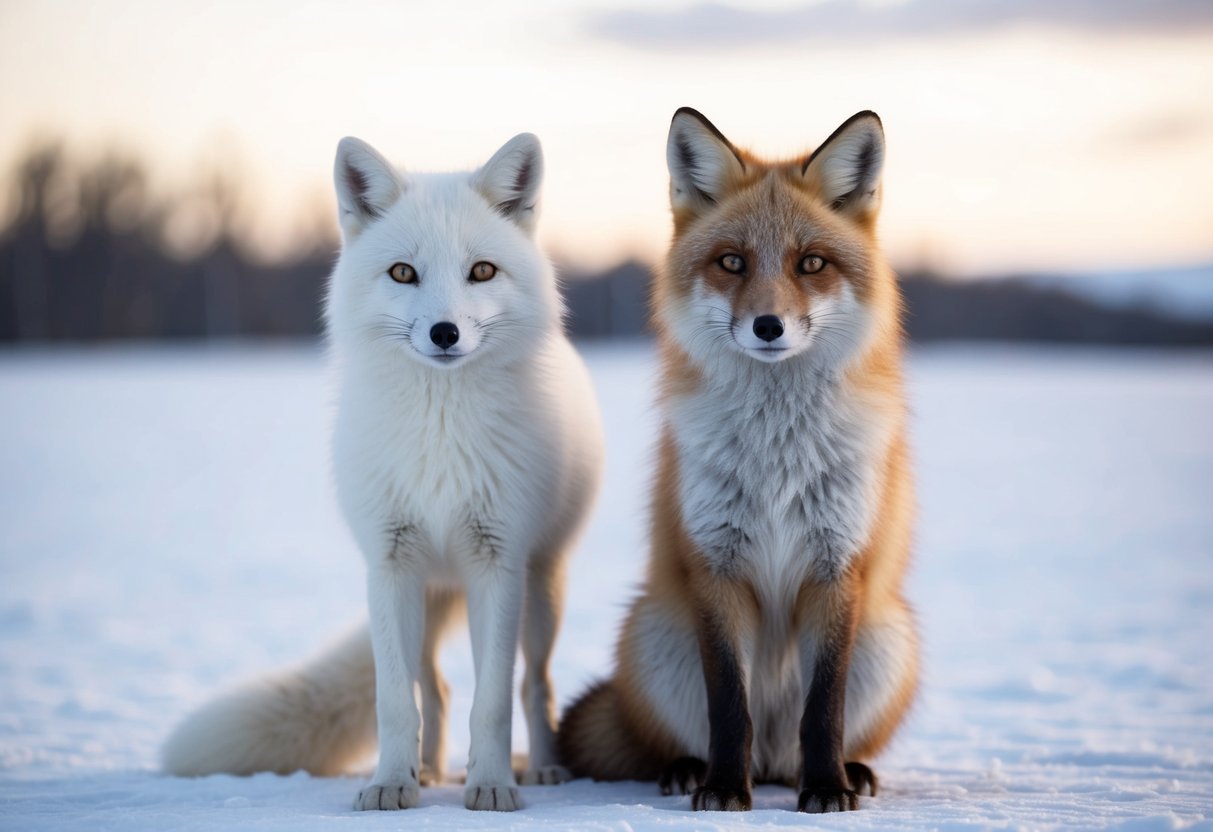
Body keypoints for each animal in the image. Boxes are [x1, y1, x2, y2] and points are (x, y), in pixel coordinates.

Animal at [161, 133, 605, 813]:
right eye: (403, 272)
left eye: (481, 271)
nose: (444, 332)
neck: (440, 441)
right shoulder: (390, 563)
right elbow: (396, 702)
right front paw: (392, 783)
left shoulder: (497, 563)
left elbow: (494, 701)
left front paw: (491, 785)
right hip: (425, 591)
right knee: (436, 689)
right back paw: (431, 771)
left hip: (540, 592)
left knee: (536, 684)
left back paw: (542, 768)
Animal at [556, 109, 919, 813]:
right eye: (732, 262)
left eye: (811, 263)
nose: (768, 326)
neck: (777, 454)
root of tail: (774, 764)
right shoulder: (716, 565)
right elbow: (729, 706)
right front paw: (724, 789)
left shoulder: (837, 565)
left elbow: (823, 710)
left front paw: (827, 789)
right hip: (653, 634)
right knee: (696, 736)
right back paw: (690, 769)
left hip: (888, 640)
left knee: (805, 738)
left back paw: (844, 772)